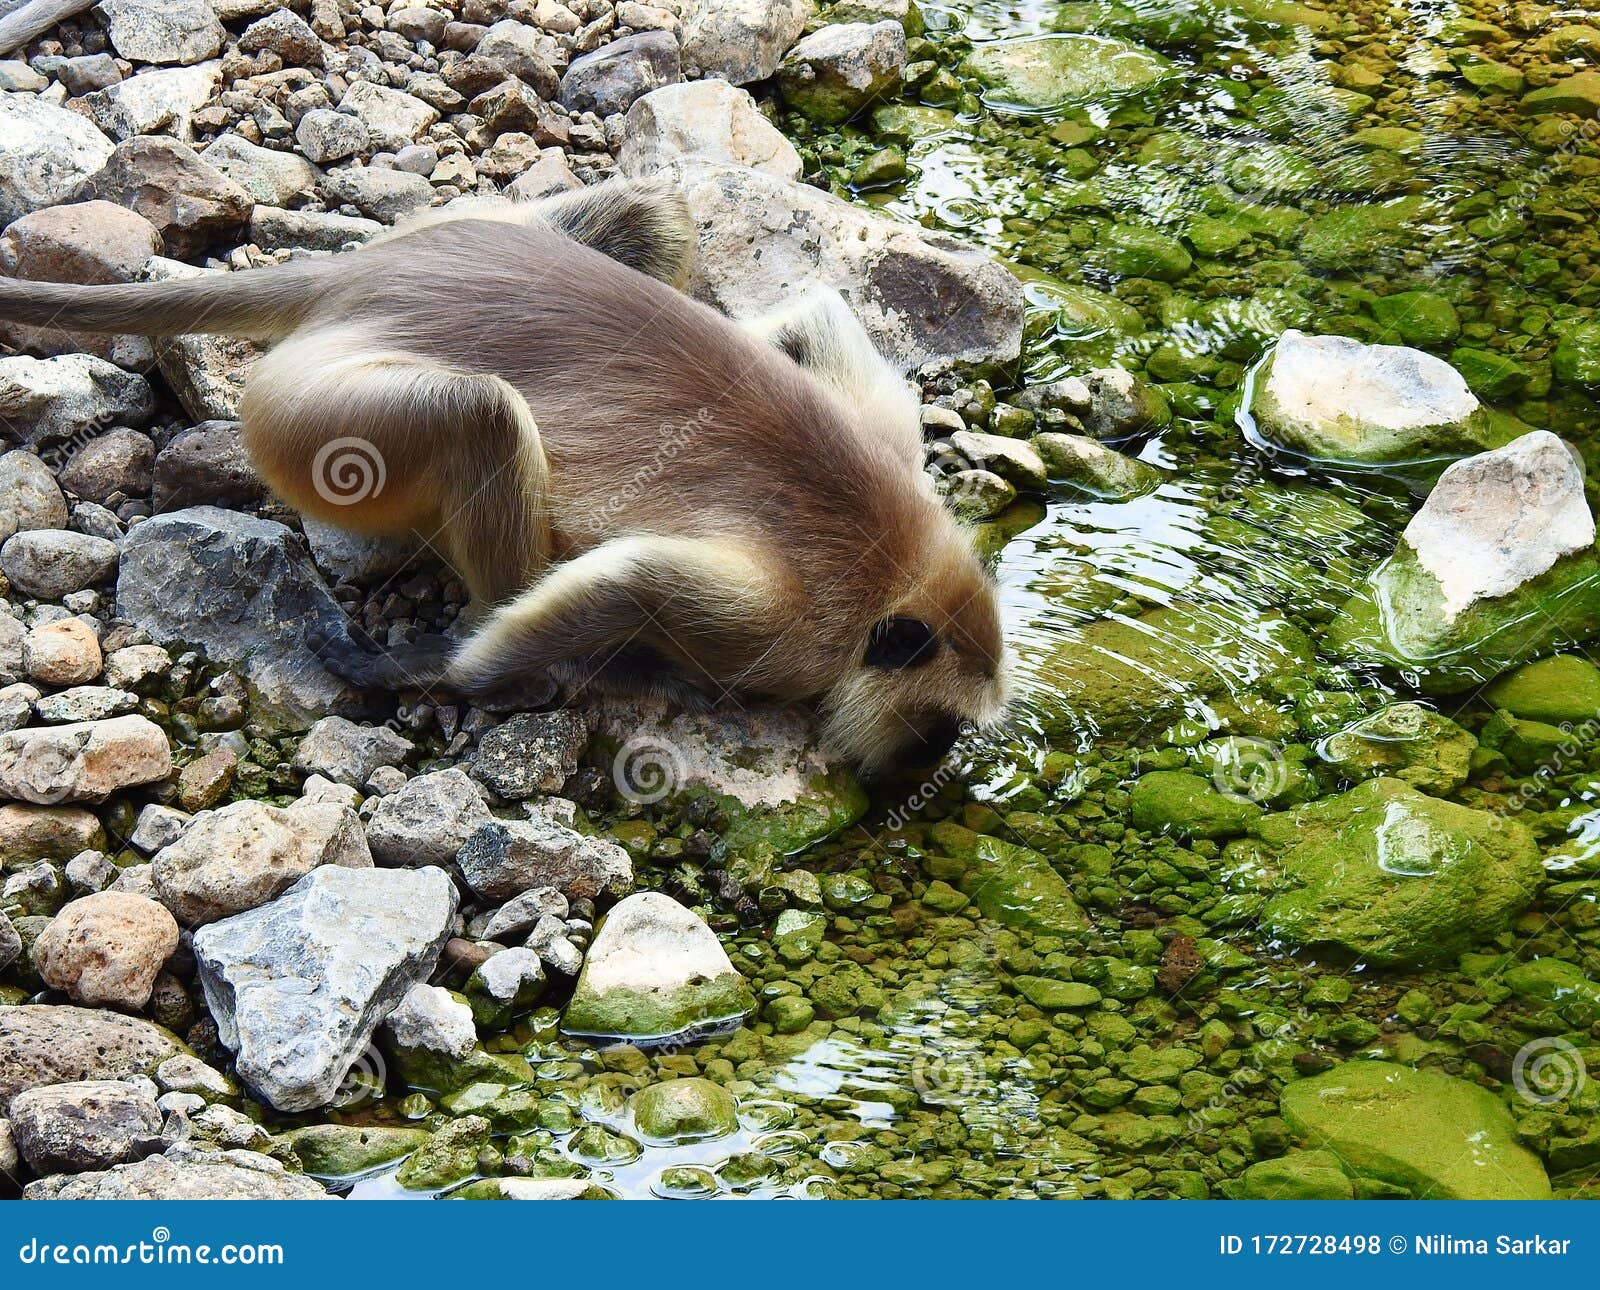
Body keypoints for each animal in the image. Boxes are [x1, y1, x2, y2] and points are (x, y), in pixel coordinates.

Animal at [0, 178, 1010, 772]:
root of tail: (354, 280)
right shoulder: (779, 629)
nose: (920, 770)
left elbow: (815, 314)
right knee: (477, 415)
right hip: (305, 413)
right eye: (938, 728)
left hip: (483, 224)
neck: (893, 561)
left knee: (655, 211)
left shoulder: (889, 438)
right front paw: (440, 671)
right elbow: (628, 583)